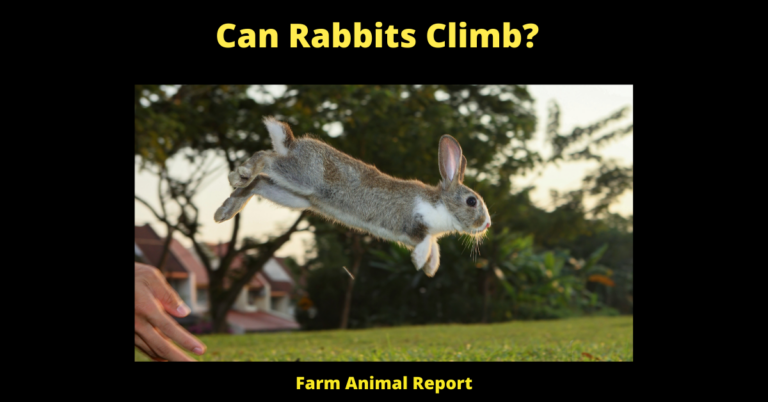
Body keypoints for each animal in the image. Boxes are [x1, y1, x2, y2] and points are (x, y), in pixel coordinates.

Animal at [214, 116, 491, 277]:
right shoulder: (413, 221)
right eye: (472, 201)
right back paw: (239, 174)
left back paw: (225, 209)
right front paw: (419, 260)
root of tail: (292, 145)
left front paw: (431, 268)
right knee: (265, 158)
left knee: (259, 184)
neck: (442, 204)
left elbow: (434, 244)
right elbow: (426, 241)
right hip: (302, 177)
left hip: (296, 195)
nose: (487, 224)